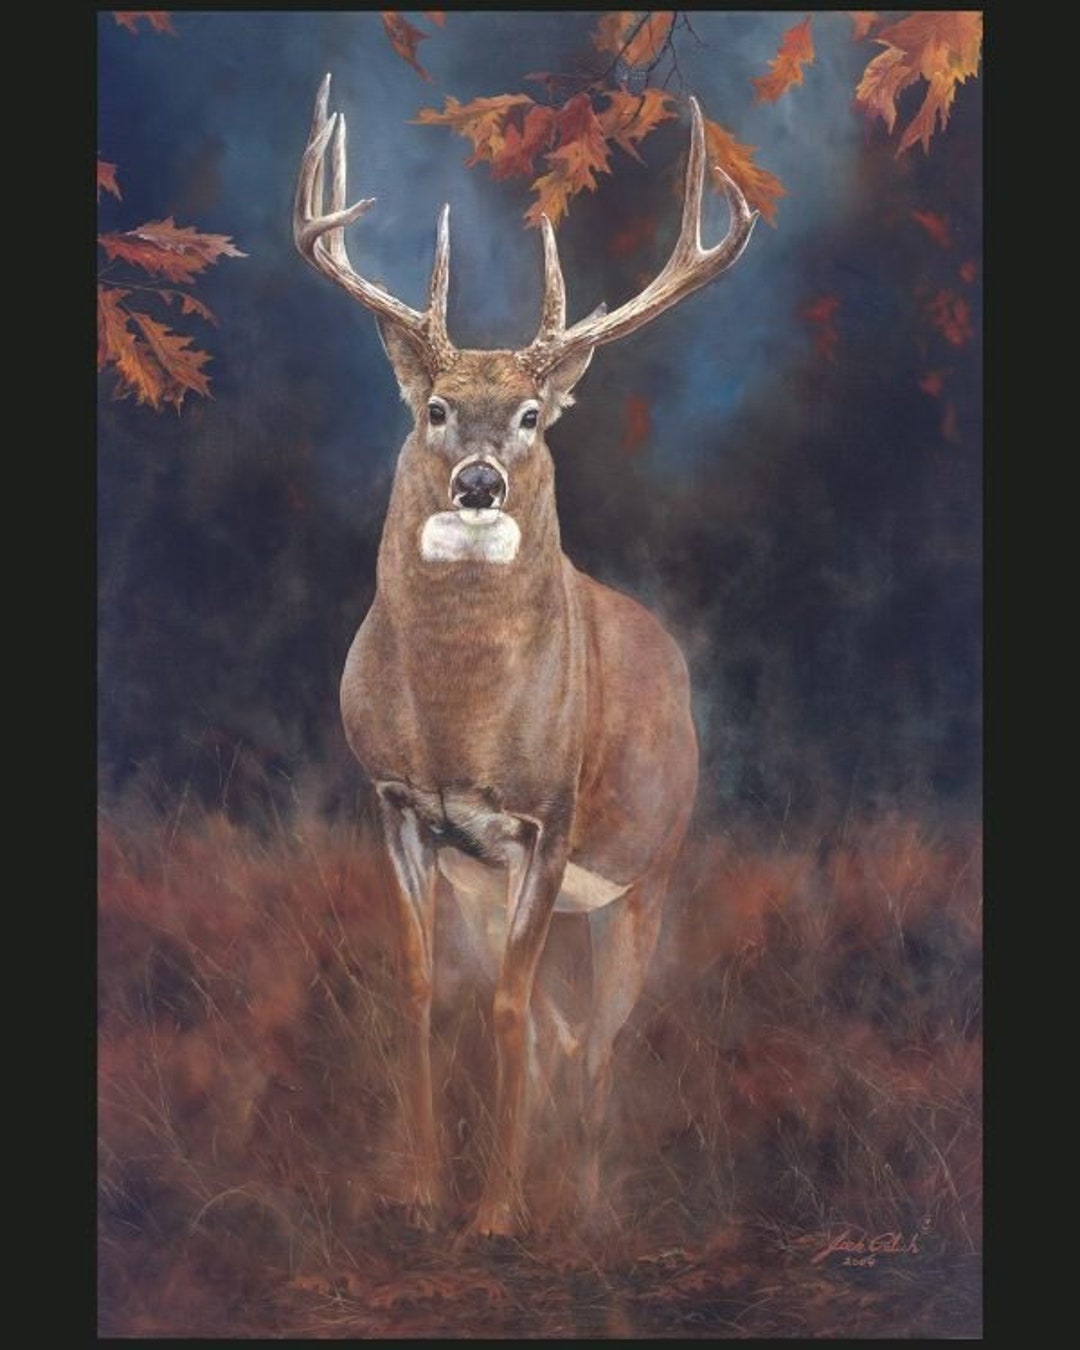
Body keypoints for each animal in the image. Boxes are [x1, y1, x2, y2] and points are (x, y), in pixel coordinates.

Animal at [294, 74, 756, 1239]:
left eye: (536, 415)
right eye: (434, 406)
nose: (478, 483)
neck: (459, 718)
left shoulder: (548, 818)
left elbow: (507, 1008)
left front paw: (499, 1211)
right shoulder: (398, 803)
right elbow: (428, 989)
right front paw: (421, 1189)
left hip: (646, 873)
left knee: (599, 1038)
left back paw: (582, 1199)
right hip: (491, 881)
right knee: (561, 1033)